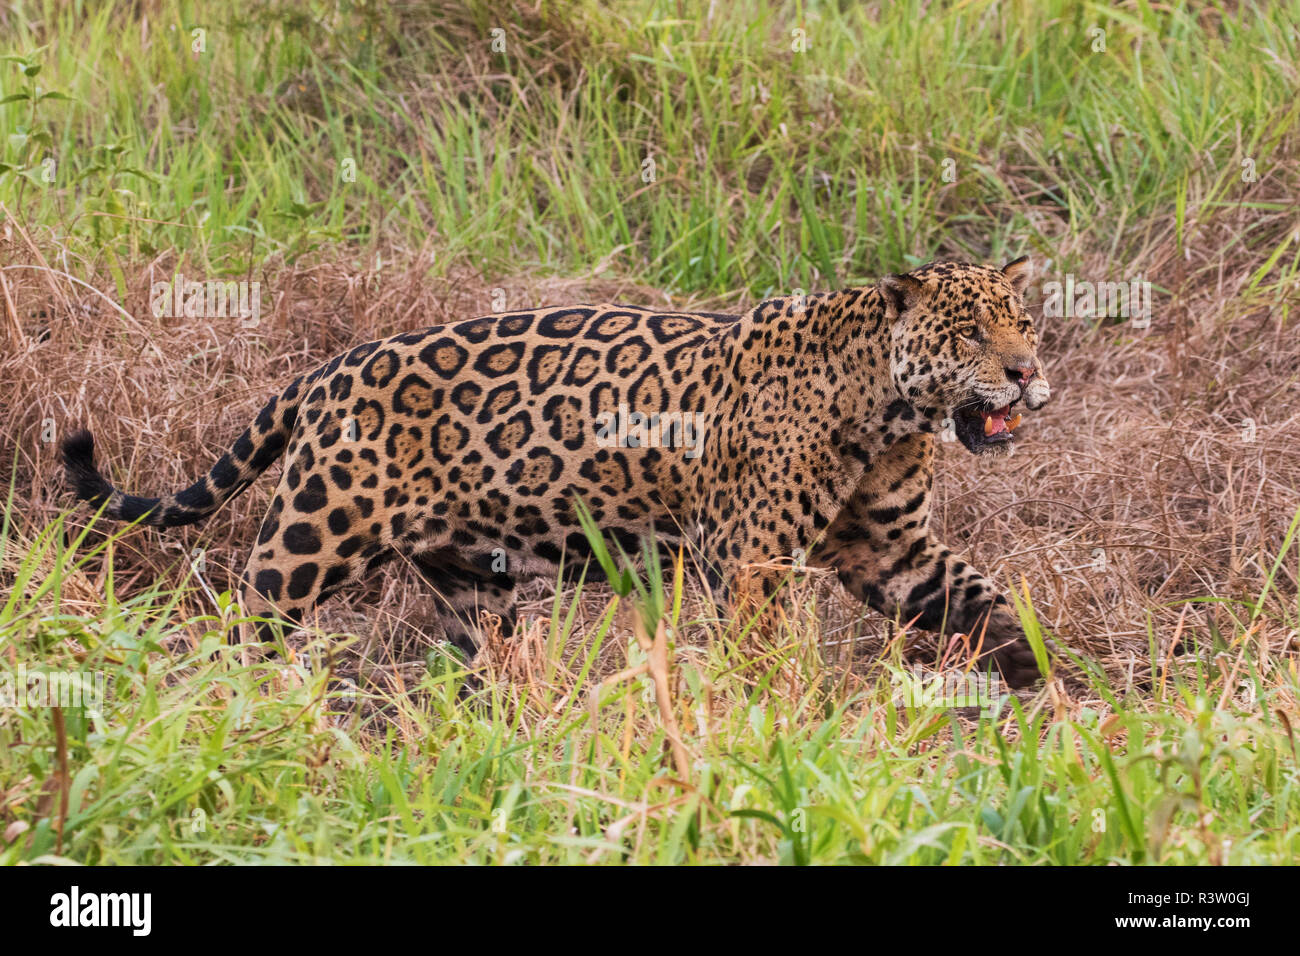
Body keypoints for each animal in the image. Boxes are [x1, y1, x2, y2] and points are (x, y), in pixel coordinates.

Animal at [62, 257, 1053, 687]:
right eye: (972, 333)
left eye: (1026, 323)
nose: (1025, 373)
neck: (888, 410)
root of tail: (329, 367)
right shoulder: (752, 559)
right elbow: (762, 653)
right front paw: (772, 728)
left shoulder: (892, 551)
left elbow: (981, 601)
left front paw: (1045, 684)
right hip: (311, 534)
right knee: (241, 623)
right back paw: (219, 712)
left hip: (471, 579)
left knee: (473, 660)